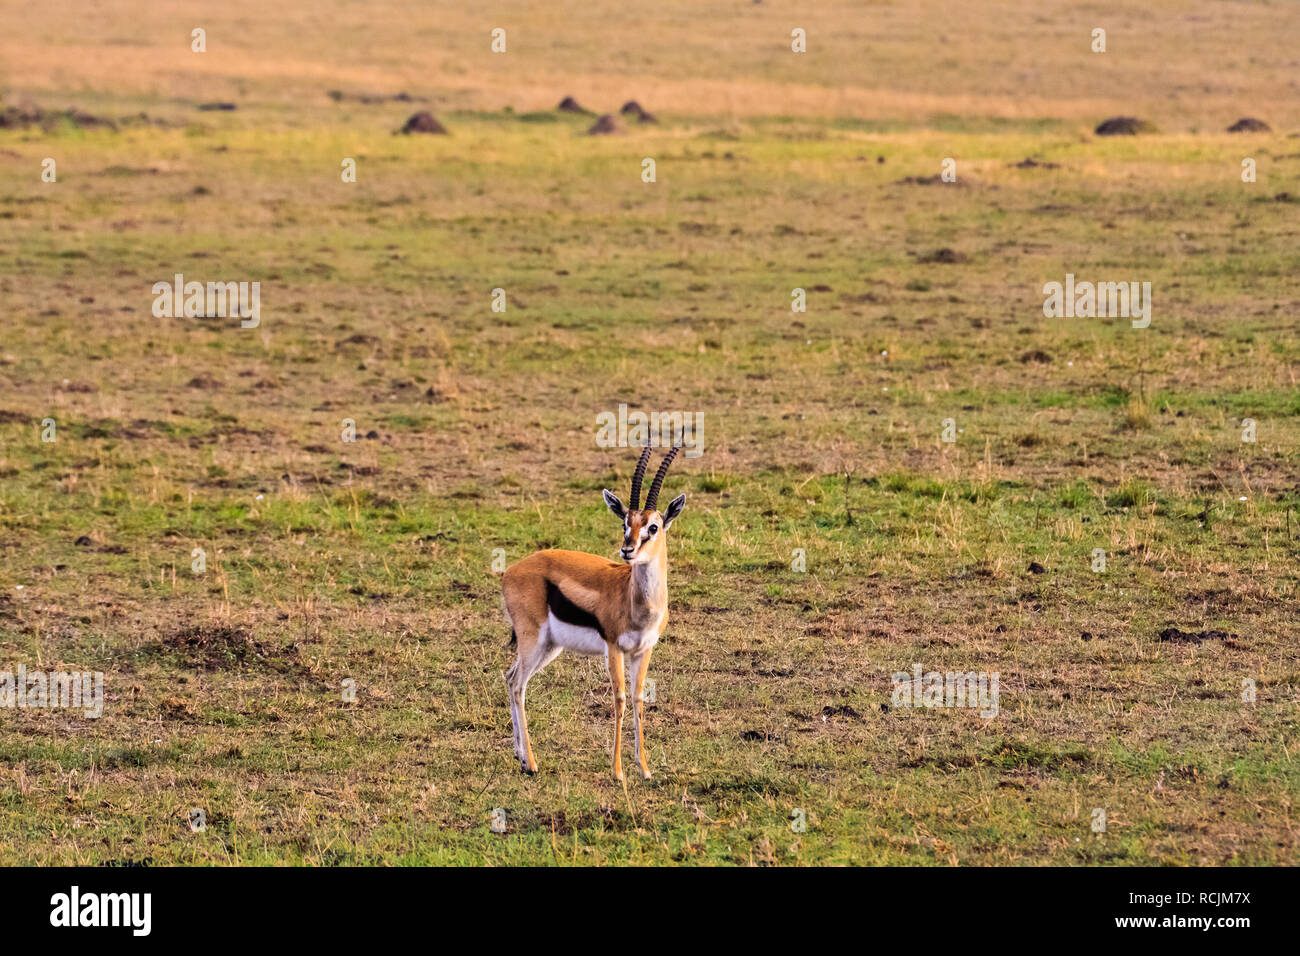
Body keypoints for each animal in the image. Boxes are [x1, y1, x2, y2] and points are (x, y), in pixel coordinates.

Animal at [502, 444, 685, 781]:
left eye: (652, 527)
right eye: (625, 523)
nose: (627, 550)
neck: (636, 603)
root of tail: (511, 571)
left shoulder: (644, 650)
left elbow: (639, 698)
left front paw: (644, 769)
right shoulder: (613, 647)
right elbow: (620, 698)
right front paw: (618, 772)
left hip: (549, 647)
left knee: (510, 678)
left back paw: (520, 757)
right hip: (533, 640)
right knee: (518, 684)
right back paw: (532, 764)